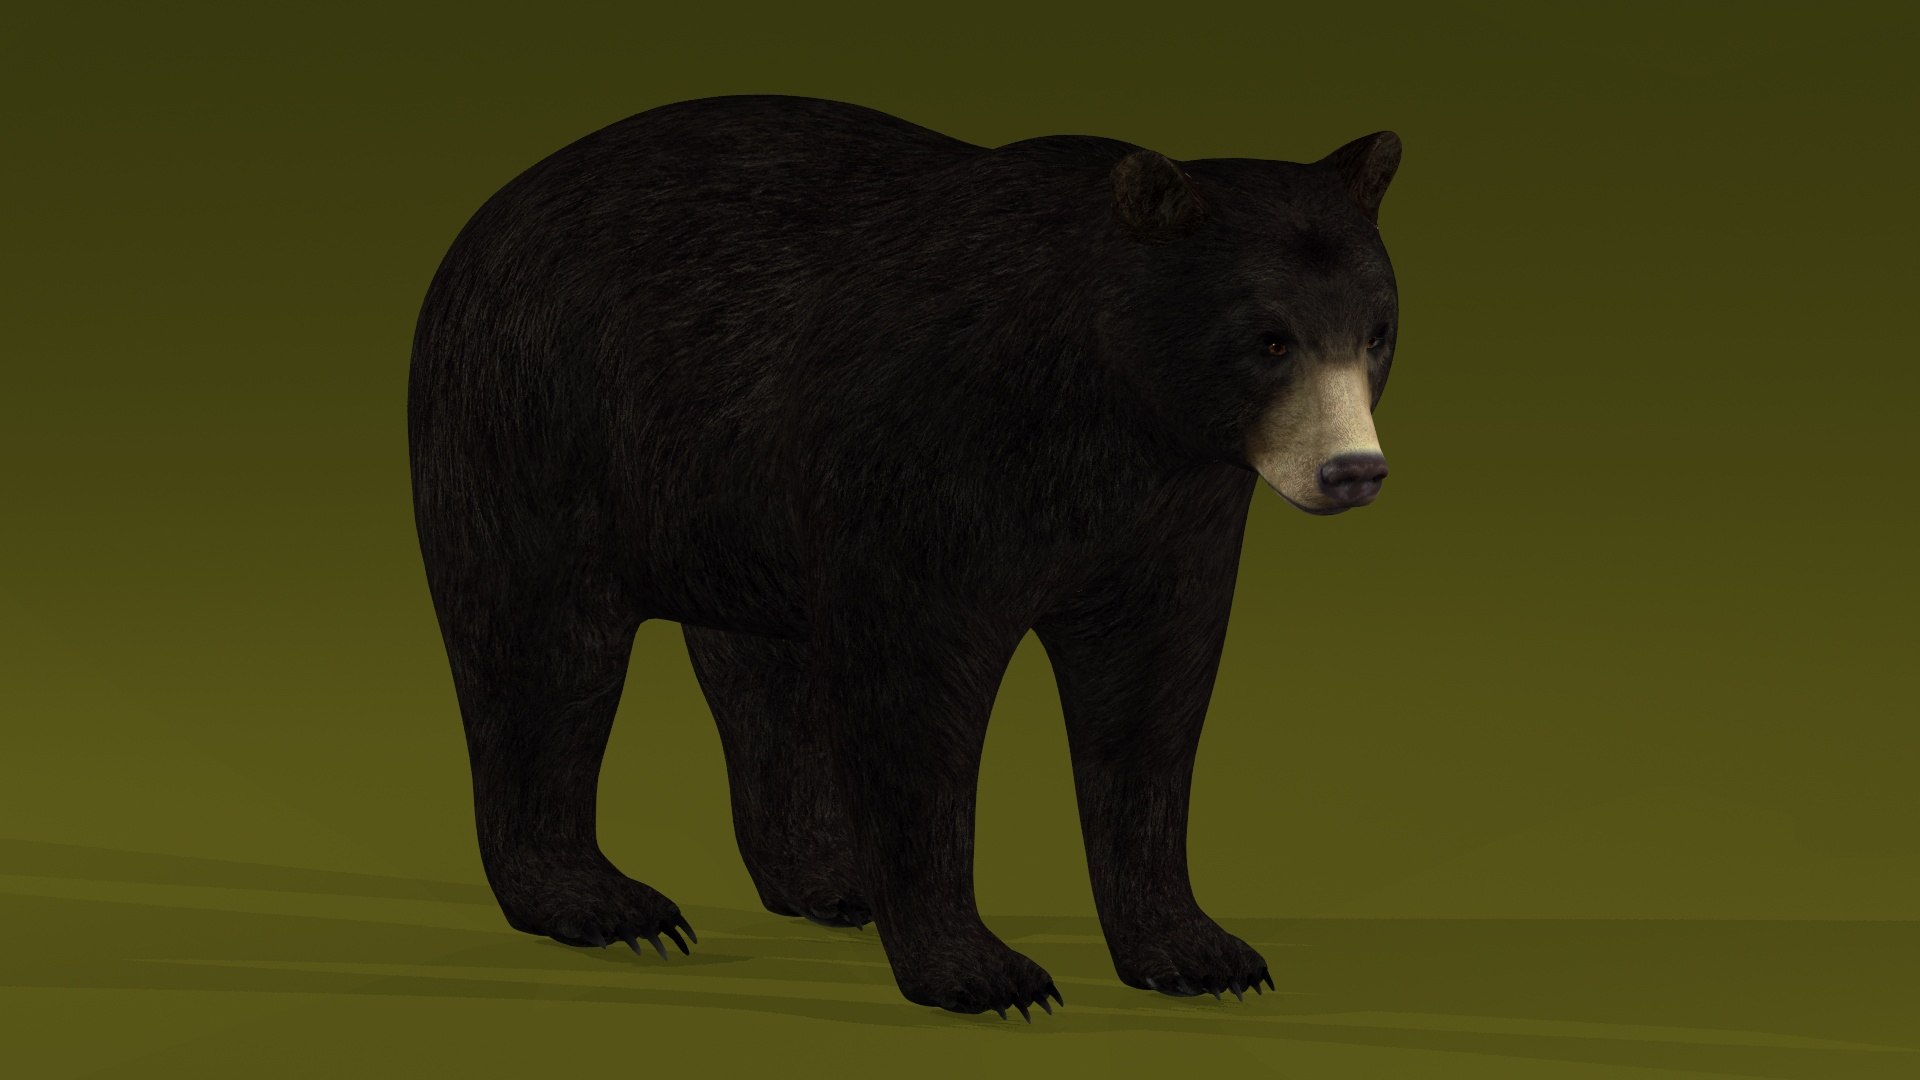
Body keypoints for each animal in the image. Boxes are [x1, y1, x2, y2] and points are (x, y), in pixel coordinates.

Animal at [408, 94, 1402, 1019]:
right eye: (1269, 338)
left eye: (1376, 332)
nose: (1352, 470)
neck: (1104, 402)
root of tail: (487, 215)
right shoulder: (924, 457)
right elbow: (913, 692)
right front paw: (981, 970)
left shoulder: (1170, 511)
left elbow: (1152, 694)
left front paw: (1199, 949)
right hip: (537, 419)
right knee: (544, 650)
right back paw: (604, 901)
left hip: (728, 501)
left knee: (762, 677)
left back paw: (824, 877)